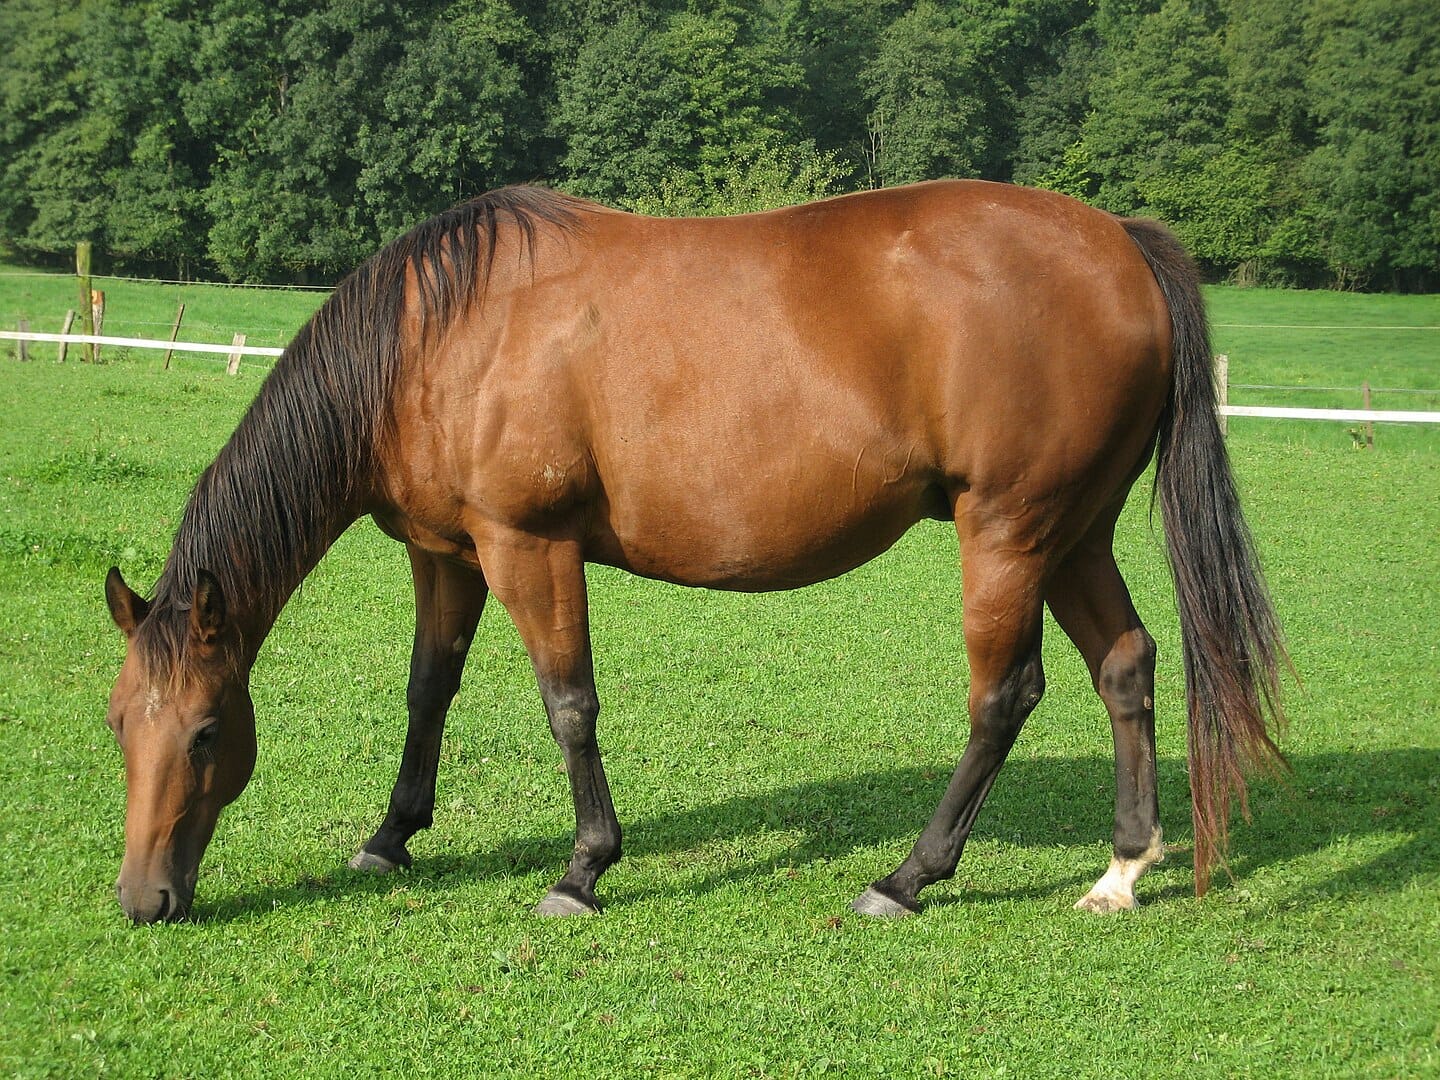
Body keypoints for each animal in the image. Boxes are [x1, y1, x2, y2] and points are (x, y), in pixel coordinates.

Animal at [103, 180, 1286, 924]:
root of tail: (1118, 241)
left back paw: (907, 878)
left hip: (1008, 532)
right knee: (1125, 665)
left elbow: (568, 704)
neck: (441, 335)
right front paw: (391, 837)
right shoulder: (446, 554)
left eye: (205, 733)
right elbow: (428, 688)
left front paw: (583, 870)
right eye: (121, 725)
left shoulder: (527, 547)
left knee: (1006, 696)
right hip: (1073, 532)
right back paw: (1122, 868)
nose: (144, 900)